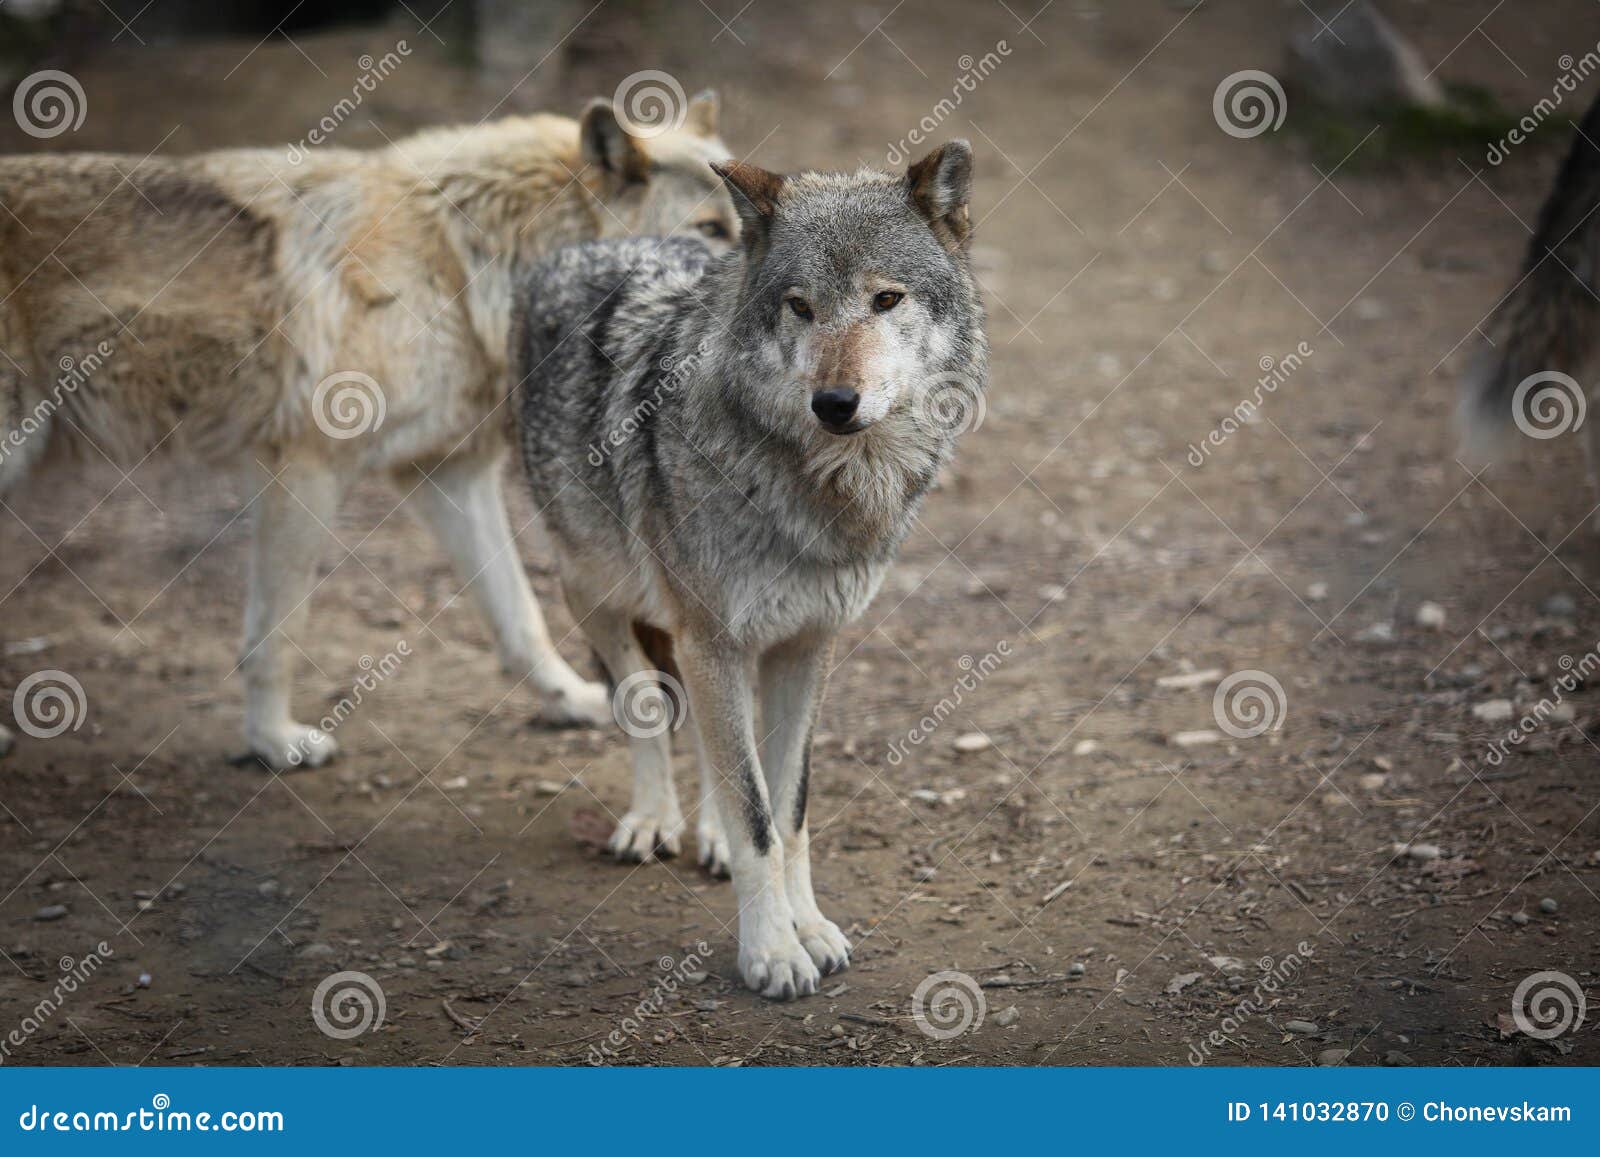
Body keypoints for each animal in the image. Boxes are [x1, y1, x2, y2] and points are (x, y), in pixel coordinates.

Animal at [0, 94, 736, 769]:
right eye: (711, 228)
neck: (460, 255)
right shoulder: (305, 468)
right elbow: (276, 632)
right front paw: (273, 742)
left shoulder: (448, 473)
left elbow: (518, 613)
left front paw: (570, 699)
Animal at [513, 143, 987, 998]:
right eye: (799, 306)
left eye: (886, 299)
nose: (835, 401)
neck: (821, 490)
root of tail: (602, 243)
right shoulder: (715, 639)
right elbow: (755, 816)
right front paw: (771, 952)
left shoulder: (807, 644)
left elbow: (784, 805)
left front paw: (809, 927)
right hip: (593, 589)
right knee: (641, 700)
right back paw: (654, 819)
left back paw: (704, 831)